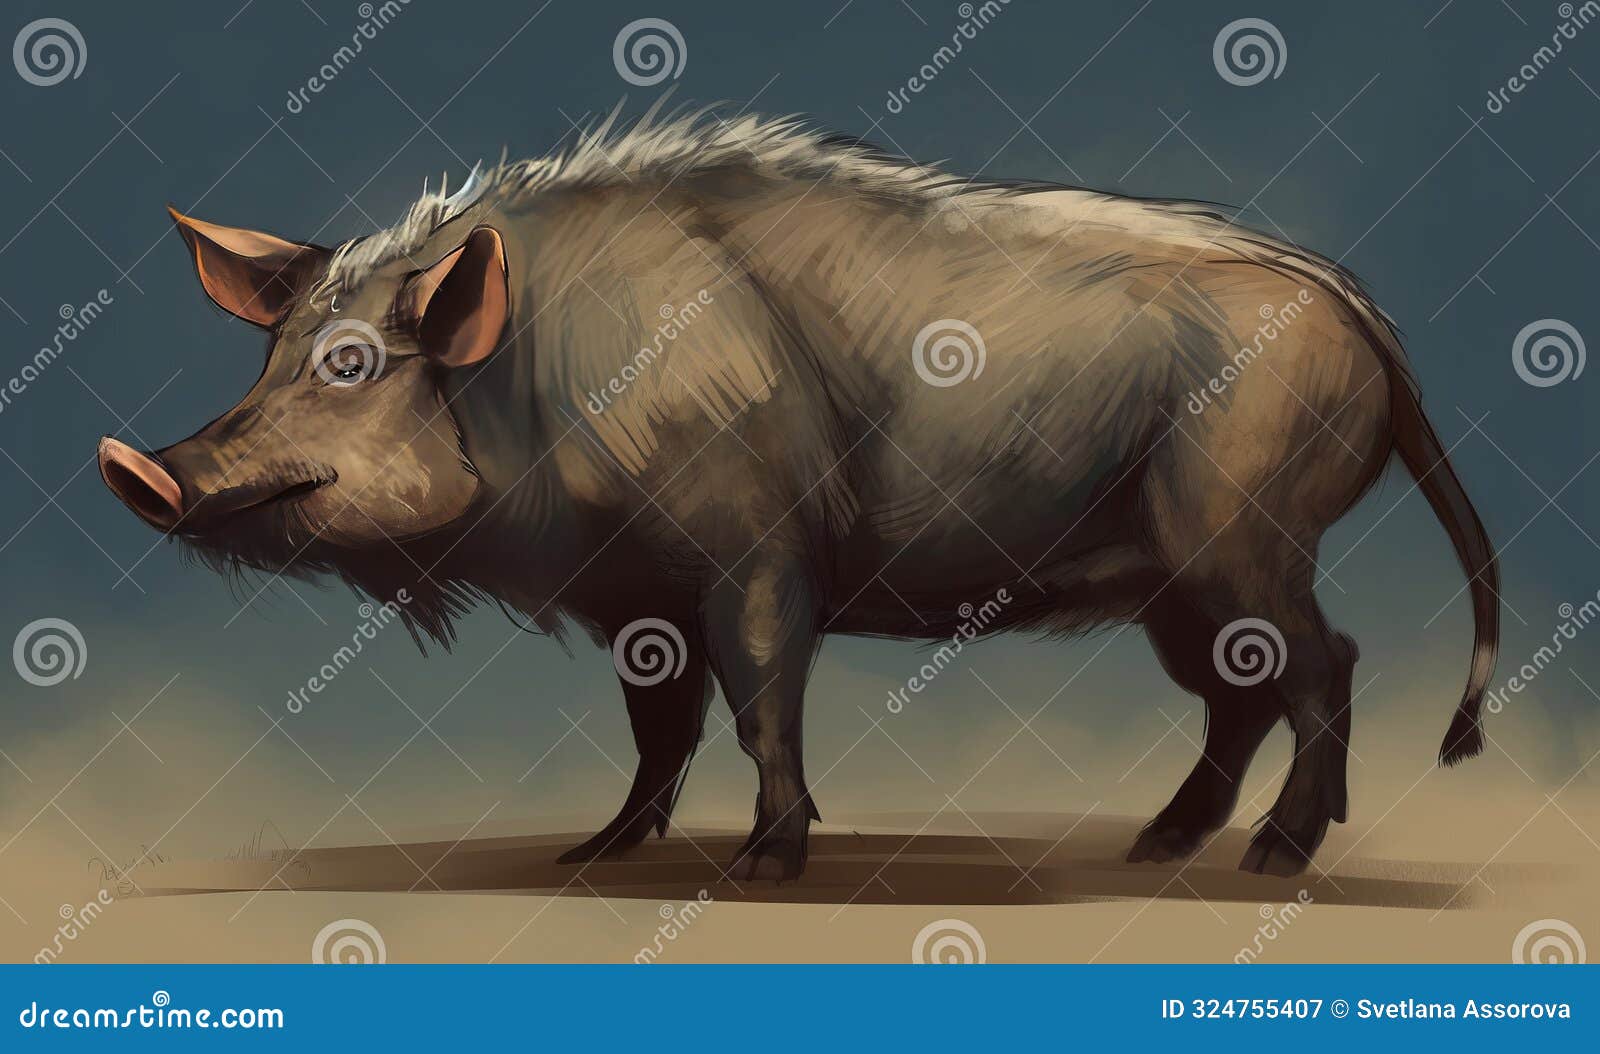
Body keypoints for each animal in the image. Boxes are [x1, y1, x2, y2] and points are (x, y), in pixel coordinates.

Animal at [98, 108, 1498, 881]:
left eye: (352, 365)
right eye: (273, 355)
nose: (139, 467)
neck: (546, 378)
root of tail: (1364, 320)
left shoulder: (757, 552)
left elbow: (762, 699)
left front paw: (766, 865)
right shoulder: (636, 595)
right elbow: (656, 724)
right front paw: (592, 855)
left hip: (1245, 533)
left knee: (1324, 663)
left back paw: (1272, 855)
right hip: (1171, 578)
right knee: (1240, 692)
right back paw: (1156, 846)